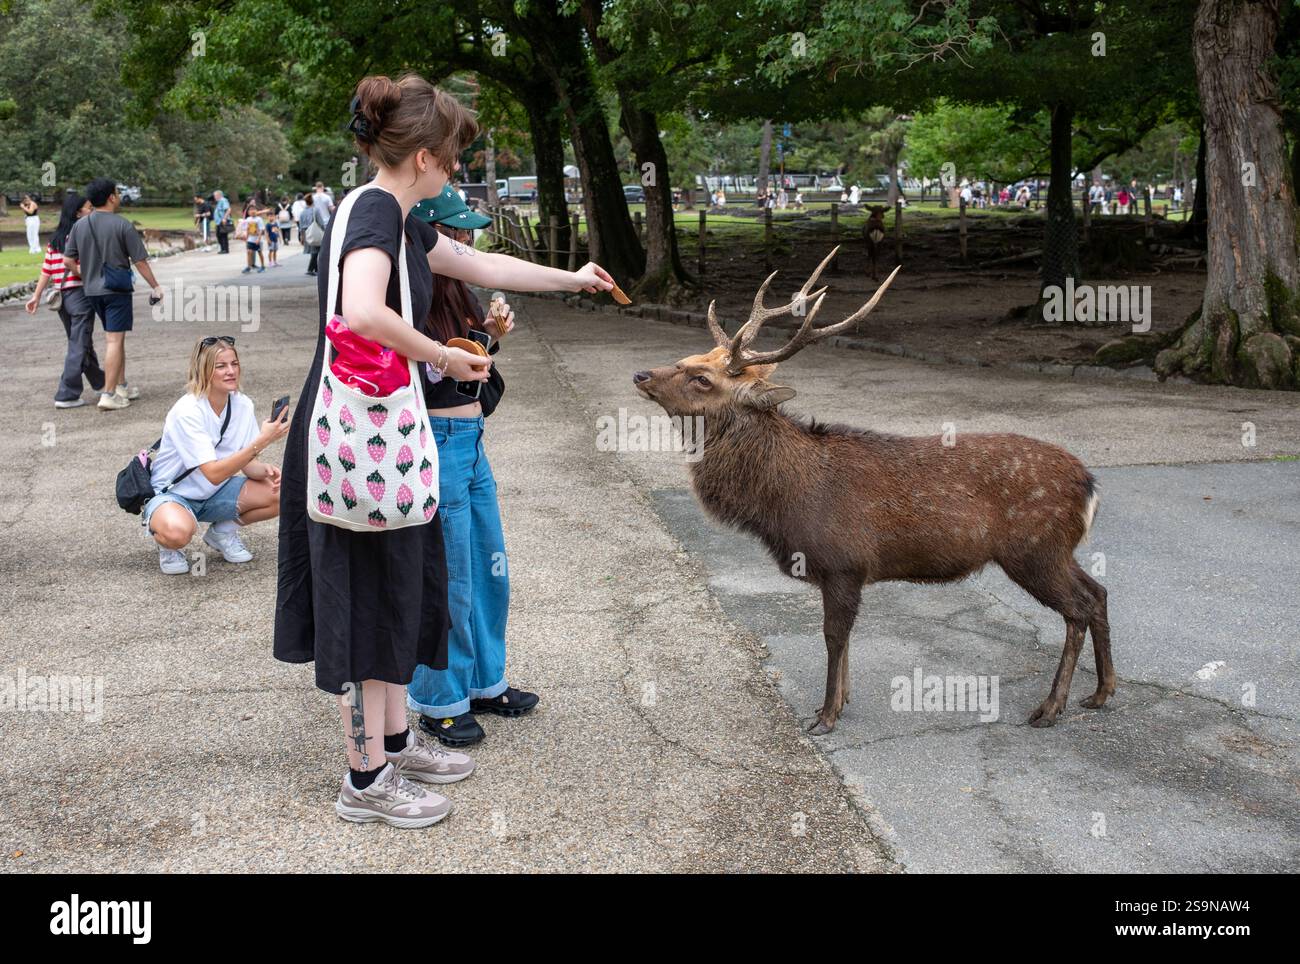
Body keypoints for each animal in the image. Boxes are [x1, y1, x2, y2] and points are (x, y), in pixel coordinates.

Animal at [632, 247, 1114, 735]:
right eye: (688, 357)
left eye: (702, 379)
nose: (641, 374)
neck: (781, 502)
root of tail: (1089, 484)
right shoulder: (846, 570)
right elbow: (845, 637)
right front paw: (840, 701)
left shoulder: (843, 561)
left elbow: (833, 635)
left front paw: (827, 714)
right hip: (1057, 550)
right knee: (1098, 592)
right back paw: (1101, 692)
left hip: (1034, 549)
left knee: (1077, 608)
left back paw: (1051, 707)